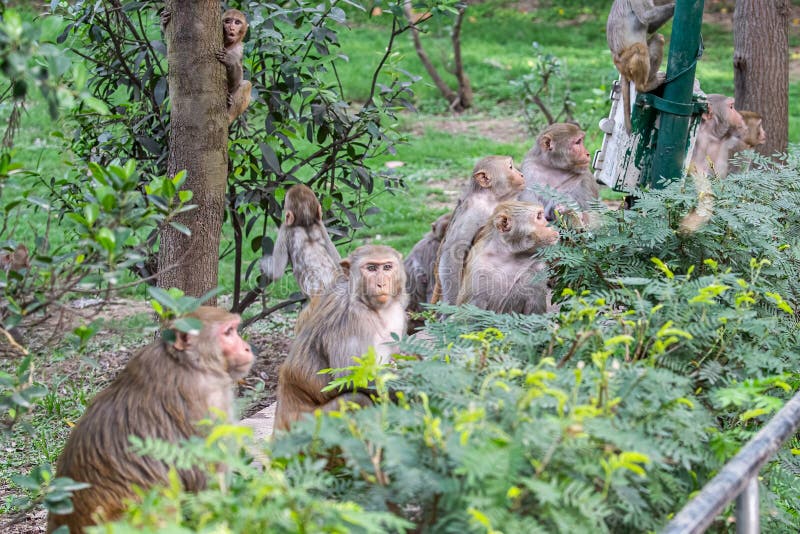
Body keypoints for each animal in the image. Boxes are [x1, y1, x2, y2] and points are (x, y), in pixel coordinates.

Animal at [47, 307, 254, 534]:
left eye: (234, 329)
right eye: (228, 332)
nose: (247, 348)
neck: (188, 362)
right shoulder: (209, 402)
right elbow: (206, 486)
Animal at [274, 245, 407, 432]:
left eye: (387, 267)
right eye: (371, 268)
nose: (381, 283)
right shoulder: (353, 319)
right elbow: (351, 376)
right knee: (356, 399)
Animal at [606, 0, 675, 131]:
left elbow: (651, 26)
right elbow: (646, 17)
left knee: (657, 38)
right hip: (625, 62)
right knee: (640, 48)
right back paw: (643, 86)